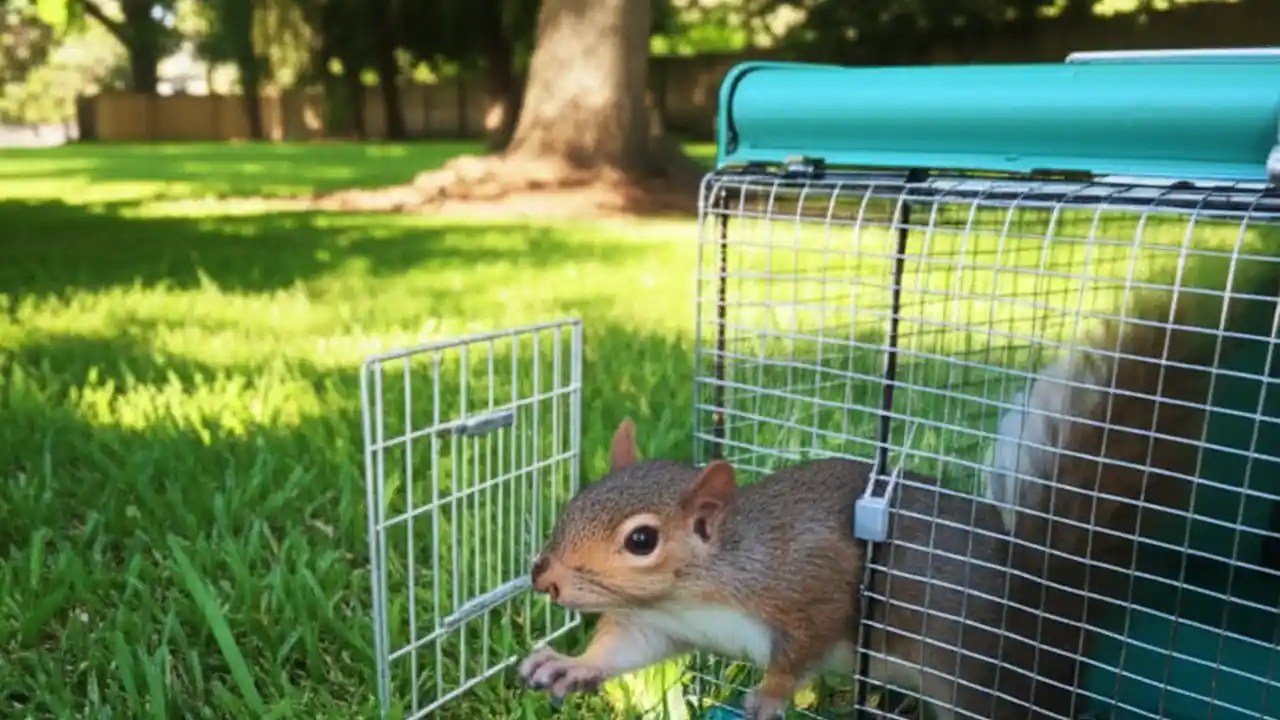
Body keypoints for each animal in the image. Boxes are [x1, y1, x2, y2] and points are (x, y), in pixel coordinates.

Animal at [517, 291, 1218, 720]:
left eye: (641, 541)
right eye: (575, 500)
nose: (544, 578)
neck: (705, 582)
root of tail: (1052, 596)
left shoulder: (813, 583)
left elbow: (802, 650)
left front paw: (769, 695)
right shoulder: (662, 623)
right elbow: (624, 649)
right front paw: (568, 665)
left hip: (979, 675)